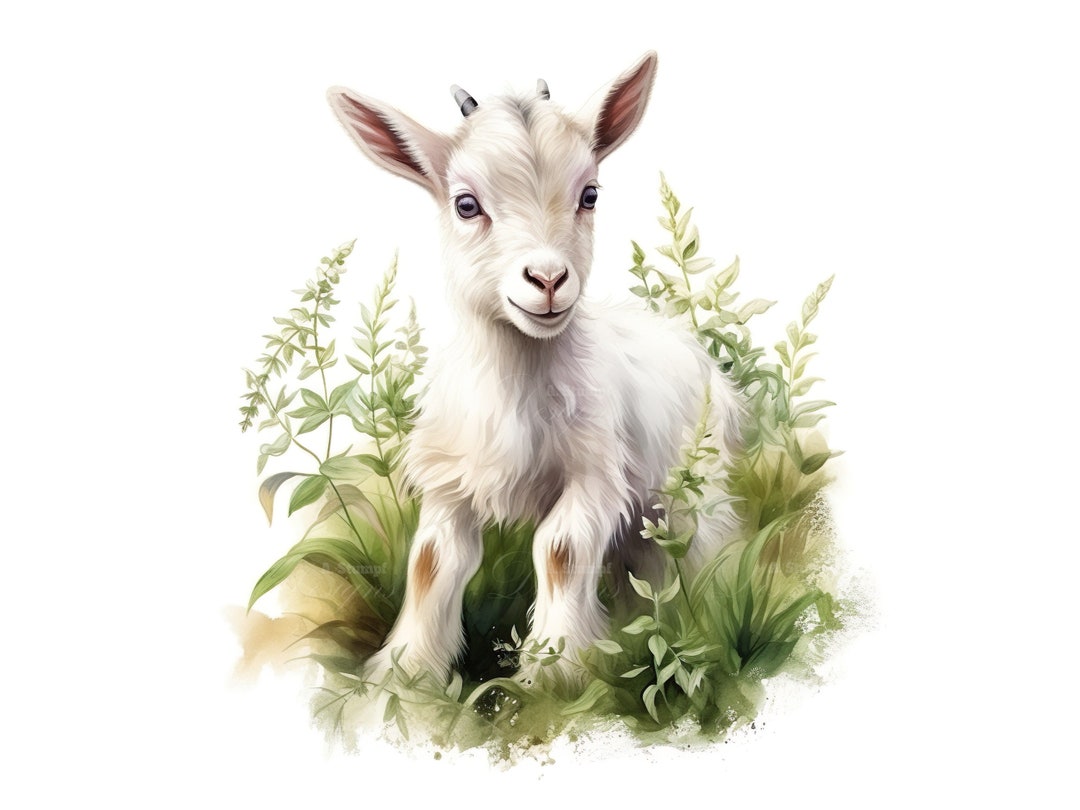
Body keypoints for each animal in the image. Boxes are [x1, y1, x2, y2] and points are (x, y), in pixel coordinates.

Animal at [327, 52, 742, 689]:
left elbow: (560, 550)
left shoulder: (595, 473)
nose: (547, 280)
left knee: (695, 548)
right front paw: (402, 676)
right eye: (466, 204)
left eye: (589, 194)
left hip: (693, 485)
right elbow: (431, 563)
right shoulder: (449, 481)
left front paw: (553, 673)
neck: (514, 392)